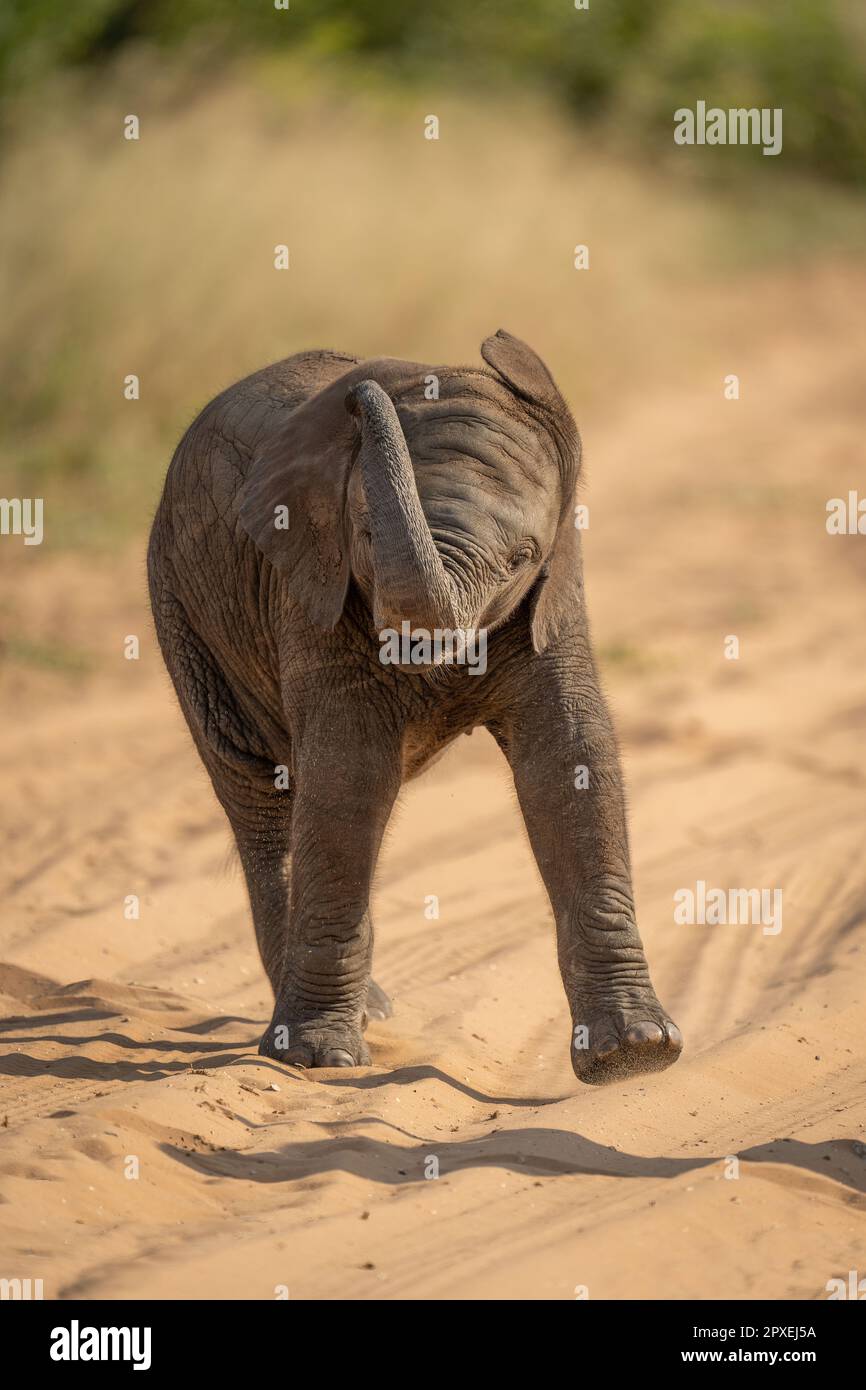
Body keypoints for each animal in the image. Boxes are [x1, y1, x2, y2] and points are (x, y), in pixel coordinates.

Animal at [147, 330, 682, 1084]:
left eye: (522, 557)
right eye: (367, 537)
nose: (360, 397)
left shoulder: (554, 592)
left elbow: (570, 755)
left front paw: (635, 1054)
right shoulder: (311, 580)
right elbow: (350, 774)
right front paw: (320, 1059)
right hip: (181, 604)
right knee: (258, 796)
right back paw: (342, 1021)